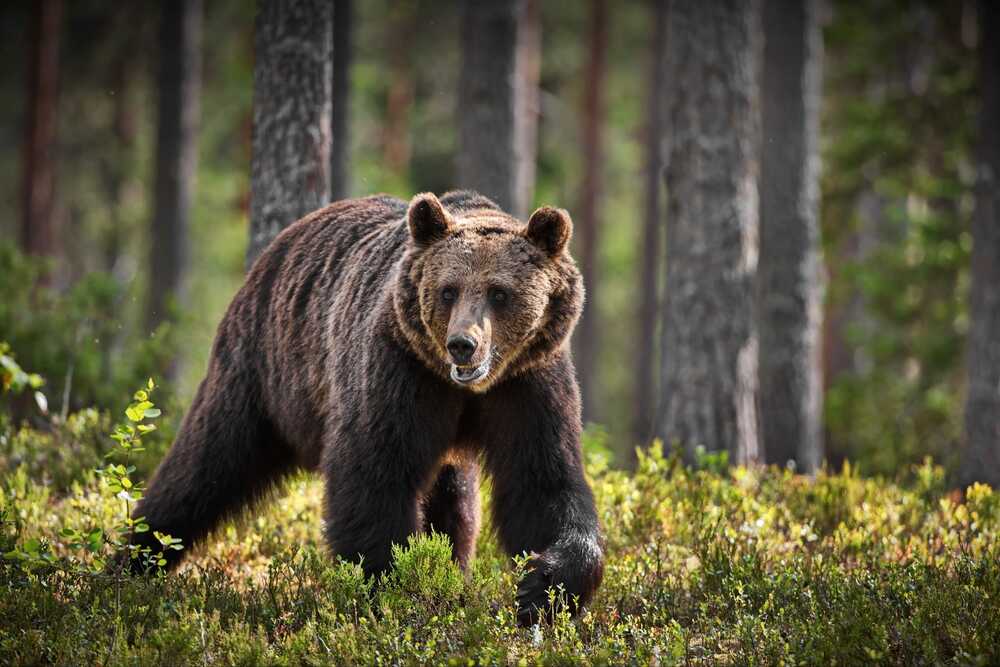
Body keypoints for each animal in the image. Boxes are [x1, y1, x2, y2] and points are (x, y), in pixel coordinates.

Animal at [130, 190, 604, 625]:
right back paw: (136, 558)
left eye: (499, 293)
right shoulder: (397, 369)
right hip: (262, 371)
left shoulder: (528, 383)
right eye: (448, 290)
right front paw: (393, 585)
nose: (462, 345)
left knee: (454, 502)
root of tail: (276, 248)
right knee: (205, 465)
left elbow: (542, 483)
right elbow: (374, 474)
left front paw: (543, 587)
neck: (465, 389)